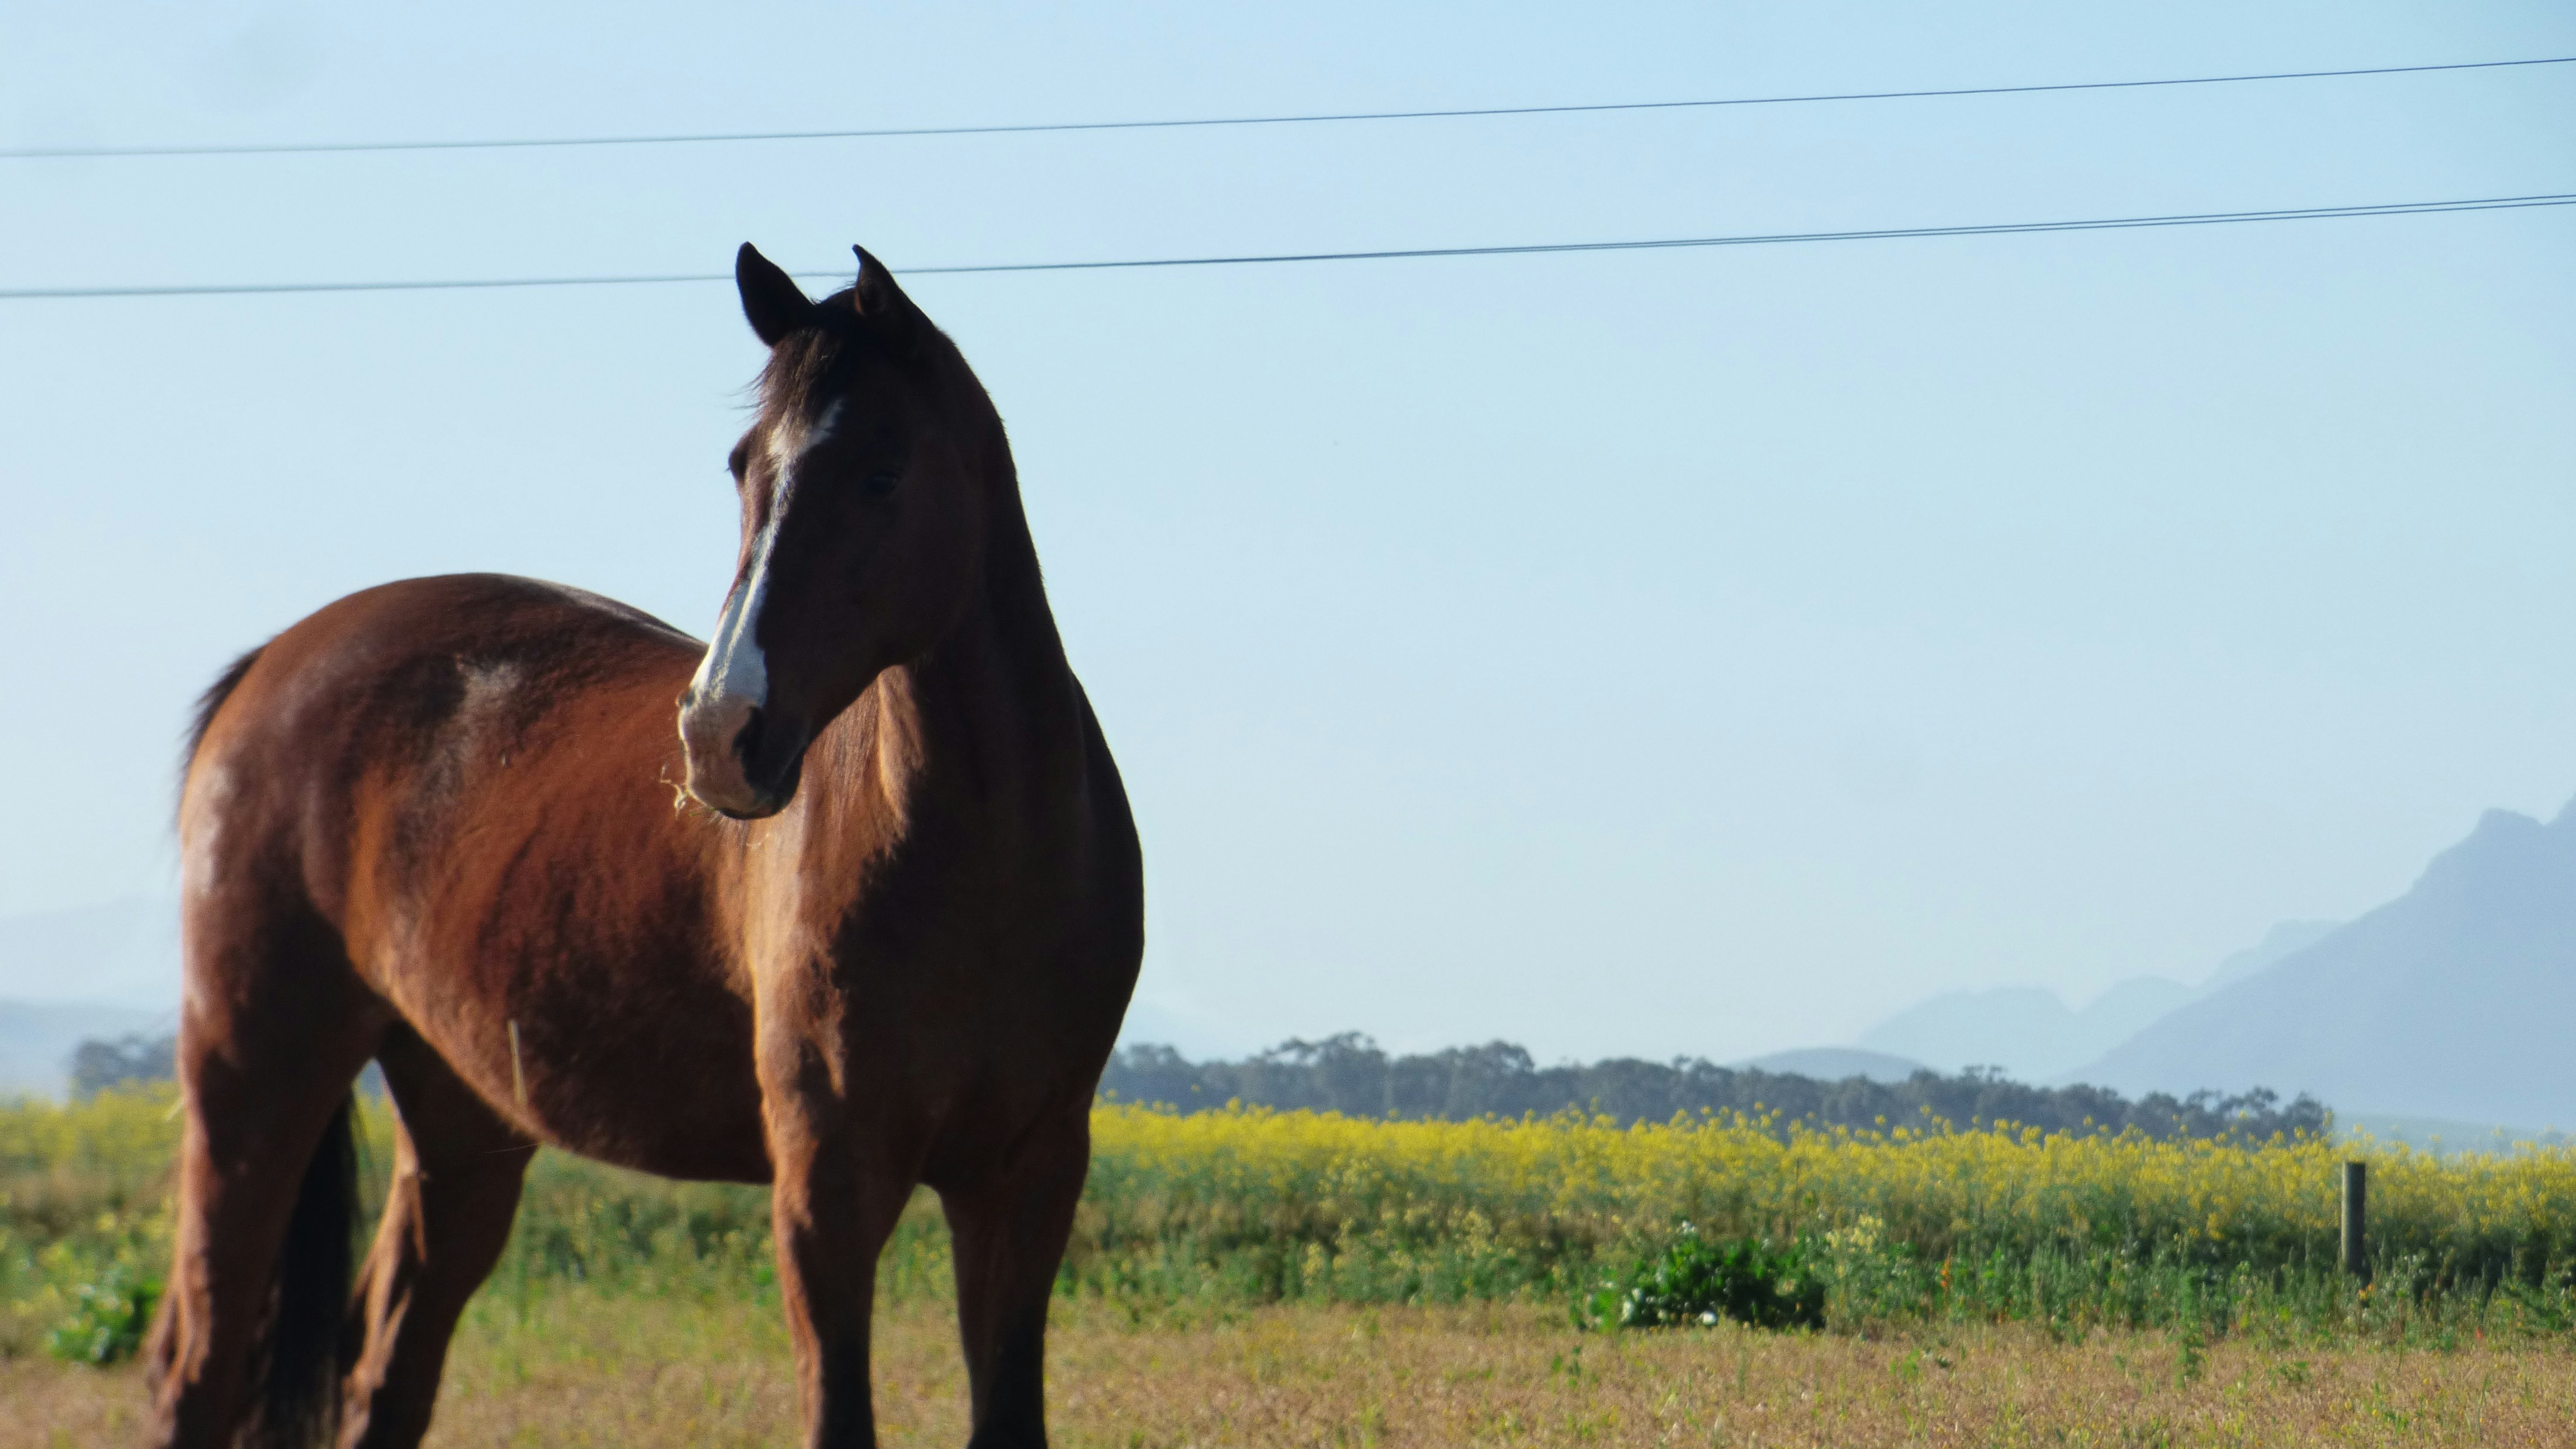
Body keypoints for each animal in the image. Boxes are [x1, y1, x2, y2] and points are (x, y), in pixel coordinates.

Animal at [149, 243, 1145, 1449]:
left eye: (880, 474)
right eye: (743, 466)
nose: (719, 733)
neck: (990, 871)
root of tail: (271, 666)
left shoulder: (1029, 1177)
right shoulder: (828, 1181)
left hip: (461, 1123)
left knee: (385, 1372)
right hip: (253, 1084)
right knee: (201, 1366)